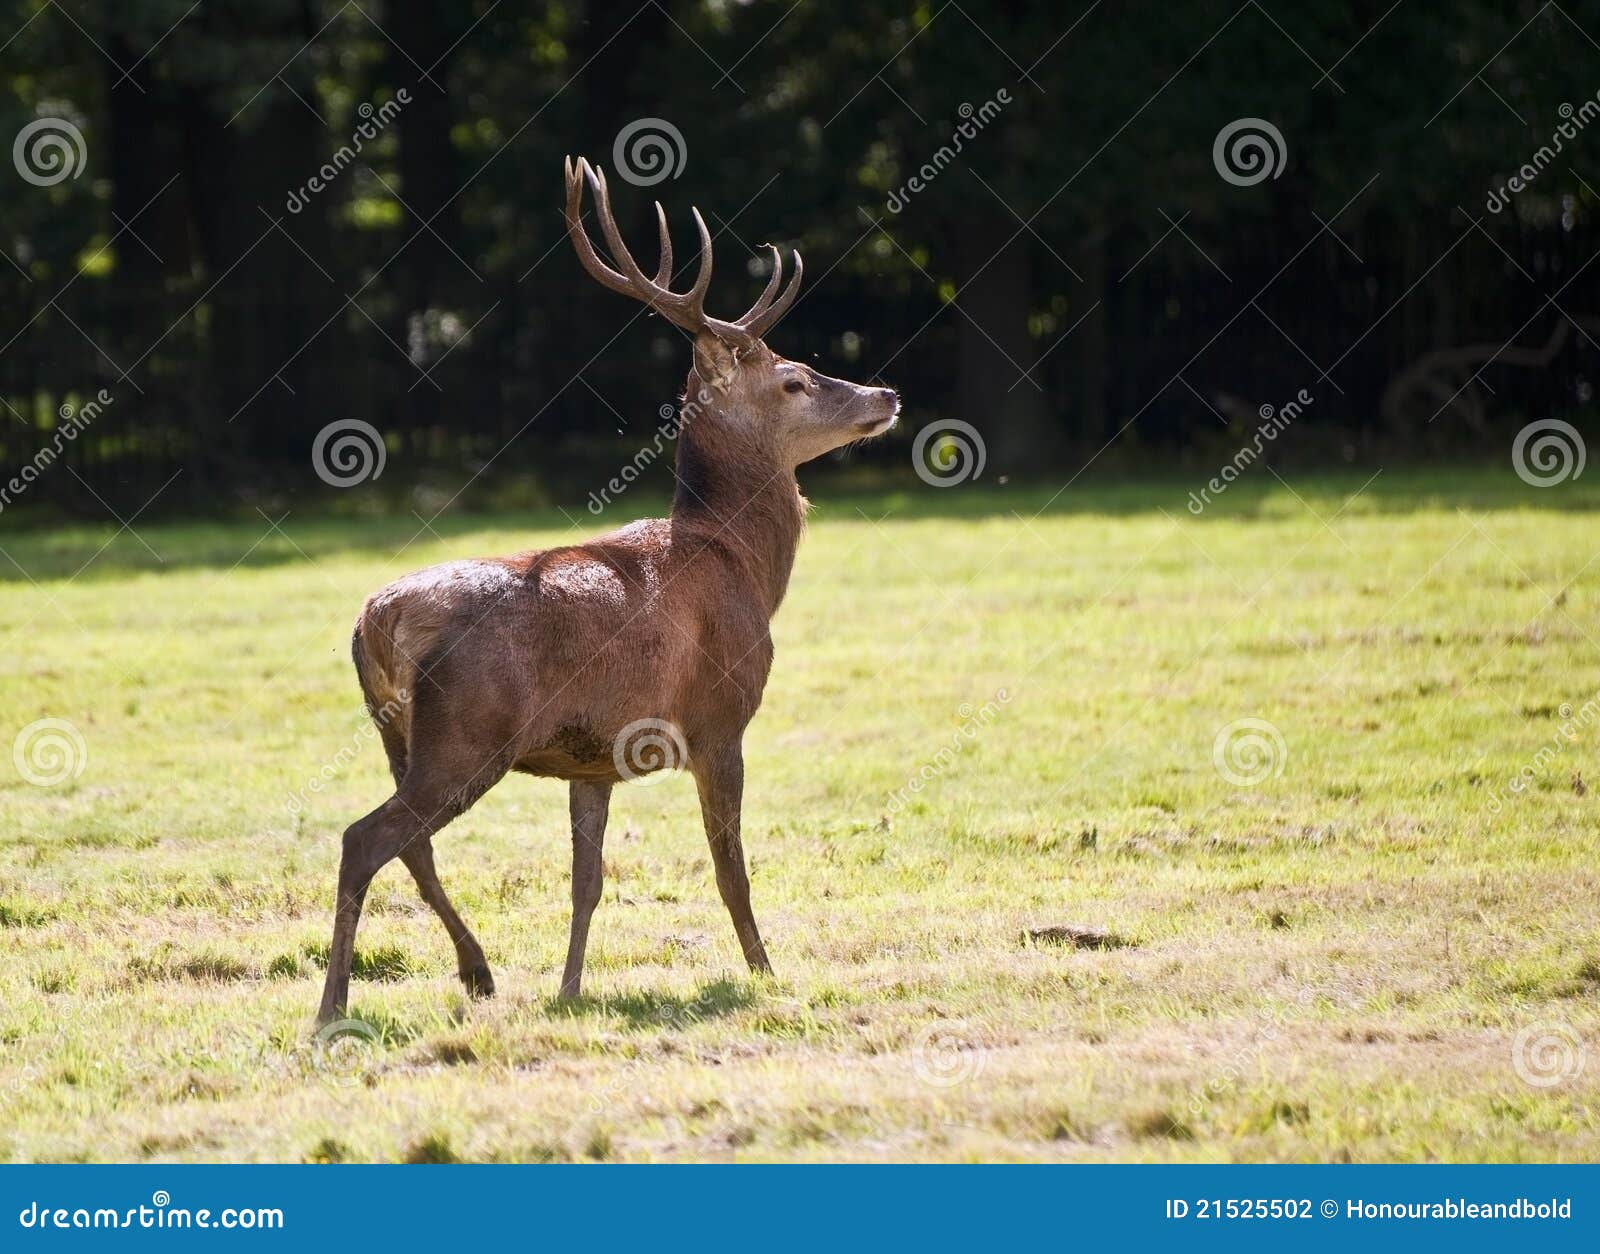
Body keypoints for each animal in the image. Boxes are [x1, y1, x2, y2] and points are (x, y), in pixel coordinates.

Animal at [315, 156, 900, 1025]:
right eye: (796, 380)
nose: (886, 395)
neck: (742, 566)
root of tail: (377, 622)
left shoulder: (593, 757)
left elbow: (586, 883)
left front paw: (569, 988)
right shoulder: (719, 717)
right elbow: (730, 869)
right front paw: (766, 973)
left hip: (399, 735)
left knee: (411, 845)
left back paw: (478, 971)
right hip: (468, 730)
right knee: (365, 840)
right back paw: (334, 1007)